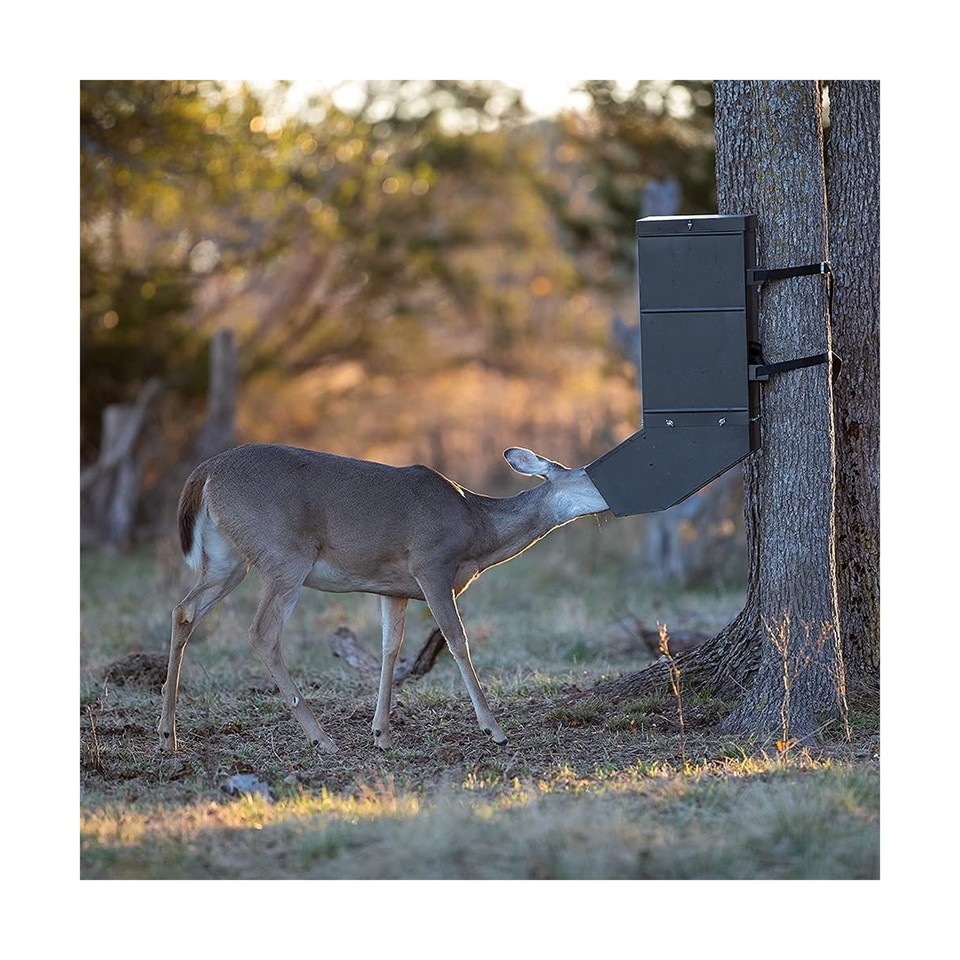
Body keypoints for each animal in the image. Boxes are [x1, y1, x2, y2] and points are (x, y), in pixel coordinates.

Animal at [158, 442, 610, 754]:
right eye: (588, 475)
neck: (477, 531)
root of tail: (207, 472)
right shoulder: (431, 565)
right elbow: (457, 640)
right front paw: (493, 729)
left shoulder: (392, 588)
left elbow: (390, 648)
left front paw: (382, 733)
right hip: (285, 553)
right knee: (262, 632)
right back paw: (321, 738)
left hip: (226, 557)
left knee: (184, 610)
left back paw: (168, 734)